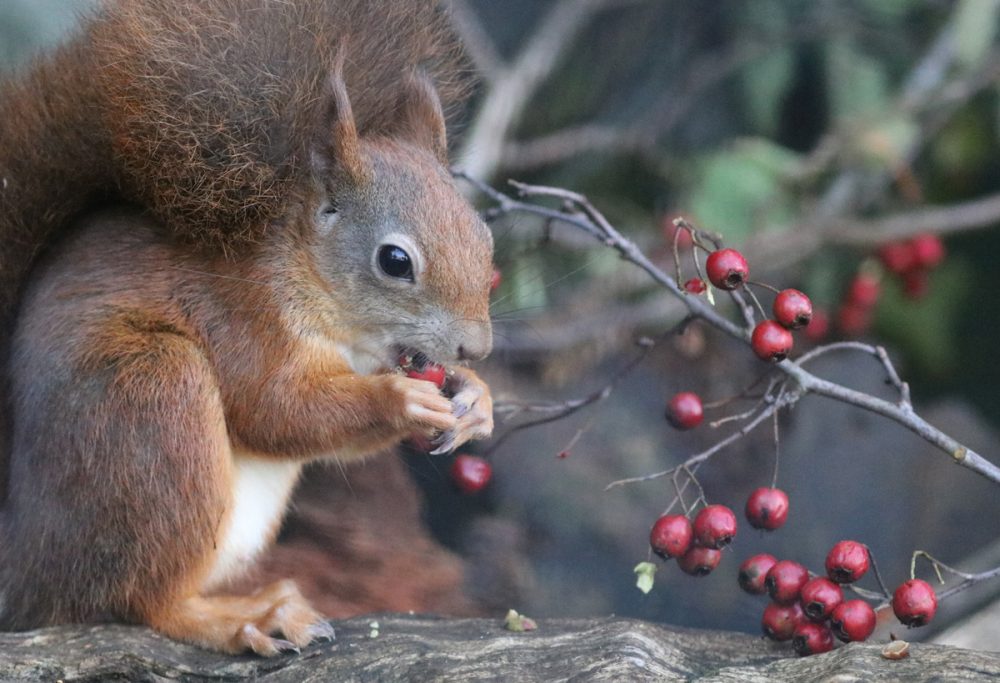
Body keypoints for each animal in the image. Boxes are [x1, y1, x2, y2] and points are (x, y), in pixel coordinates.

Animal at [0, 0, 495, 656]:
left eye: (484, 236)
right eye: (395, 261)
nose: (477, 347)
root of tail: (23, 564)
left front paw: (478, 400)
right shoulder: (238, 315)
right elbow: (275, 410)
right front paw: (399, 400)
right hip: (149, 401)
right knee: (142, 602)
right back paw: (245, 617)